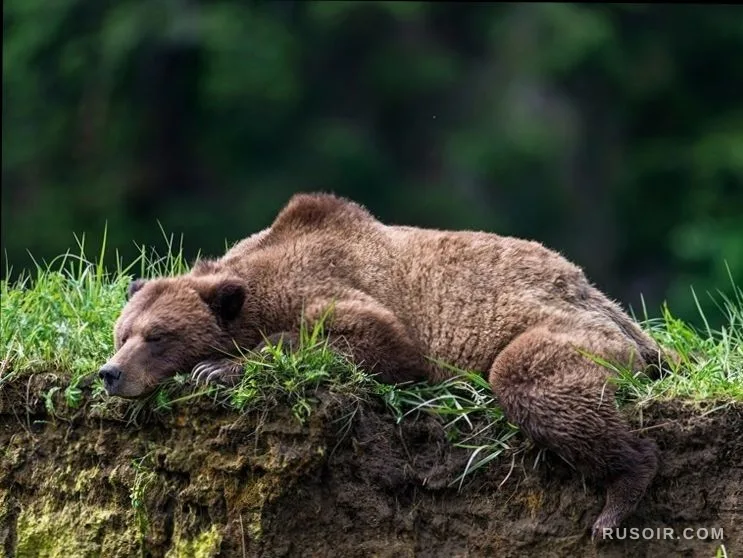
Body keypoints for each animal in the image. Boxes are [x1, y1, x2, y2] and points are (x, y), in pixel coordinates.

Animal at [100, 192, 667, 539]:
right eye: (122, 333)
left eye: (157, 336)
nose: (110, 373)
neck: (261, 287)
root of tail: (592, 289)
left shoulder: (347, 291)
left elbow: (373, 341)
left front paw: (218, 367)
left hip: (564, 326)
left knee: (530, 378)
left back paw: (618, 497)